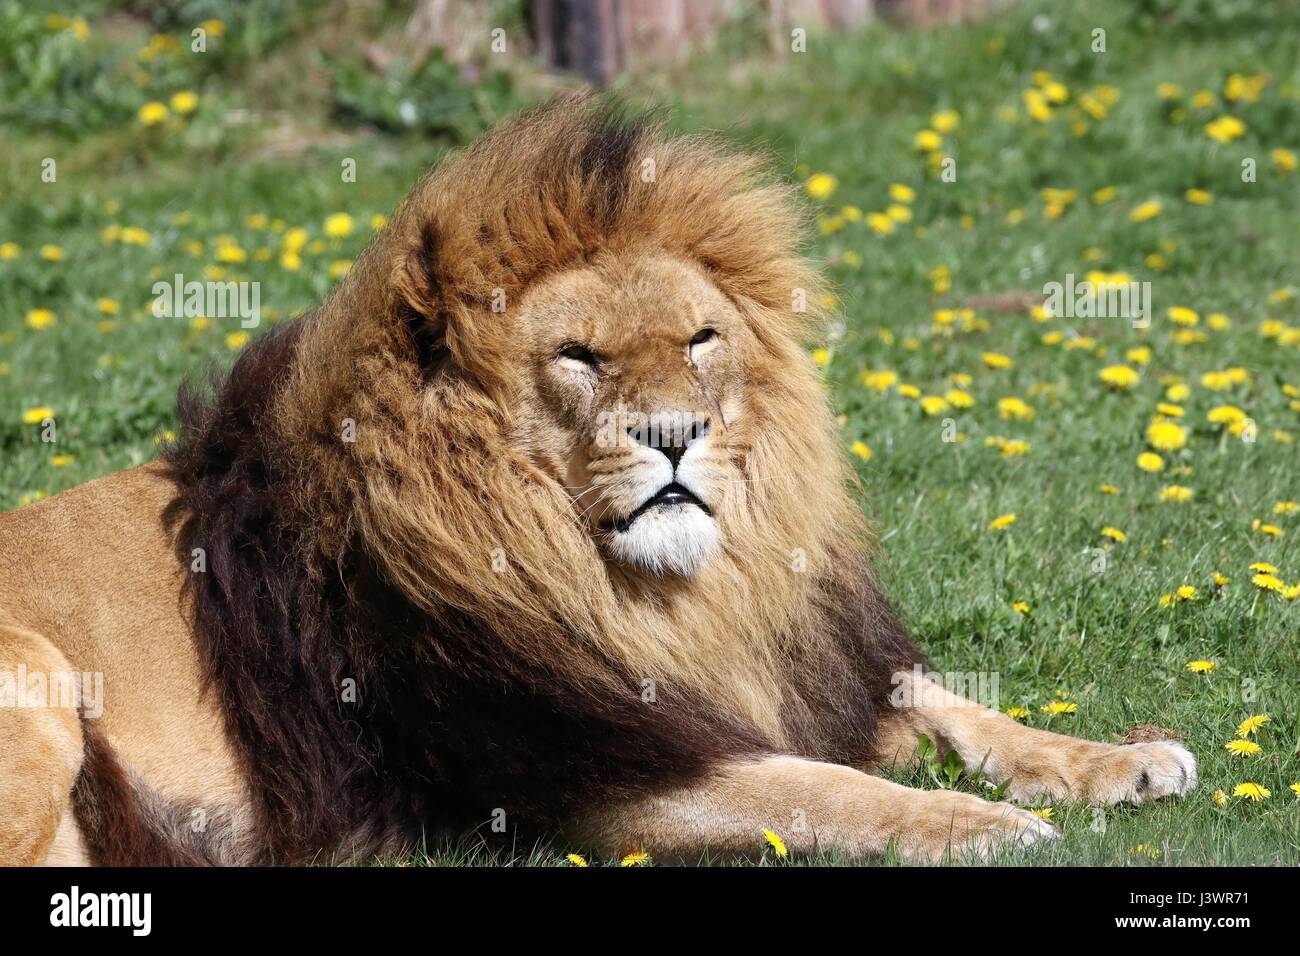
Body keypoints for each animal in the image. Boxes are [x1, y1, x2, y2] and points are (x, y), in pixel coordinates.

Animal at [0, 97, 1195, 866]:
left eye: (701, 338)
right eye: (578, 356)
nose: (674, 434)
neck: (648, 592)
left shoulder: (777, 669)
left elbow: (951, 704)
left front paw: (1121, 761)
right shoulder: (587, 775)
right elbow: (821, 786)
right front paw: (976, 825)